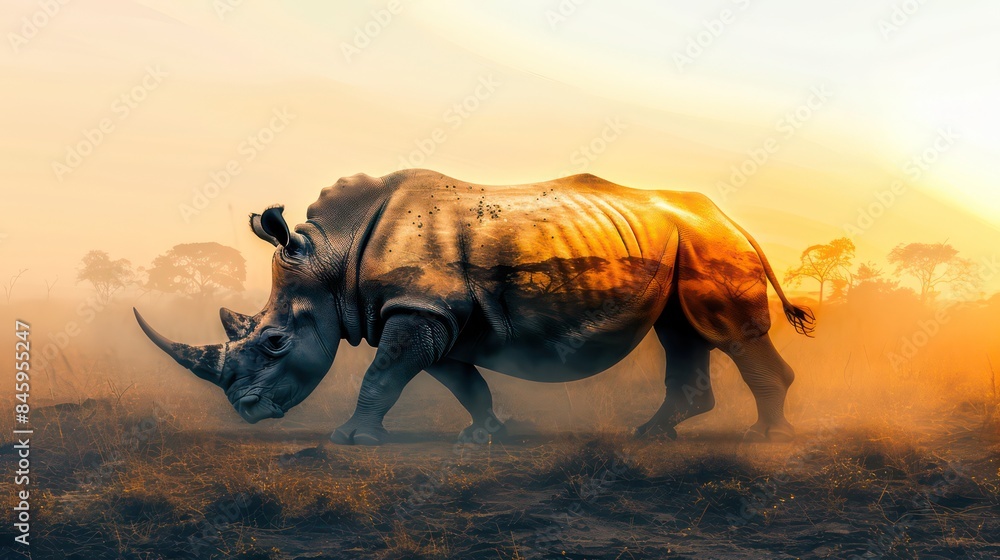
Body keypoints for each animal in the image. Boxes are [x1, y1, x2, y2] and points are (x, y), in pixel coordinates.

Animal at [135, 170, 814, 445]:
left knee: (727, 335)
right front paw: (483, 435)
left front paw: (351, 440)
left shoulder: (419, 310)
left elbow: (383, 376)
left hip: (708, 241)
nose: (247, 412)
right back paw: (651, 435)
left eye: (275, 342)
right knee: (682, 333)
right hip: (684, 241)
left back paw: (767, 439)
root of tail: (730, 216)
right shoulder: (430, 314)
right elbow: (460, 381)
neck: (334, 257)